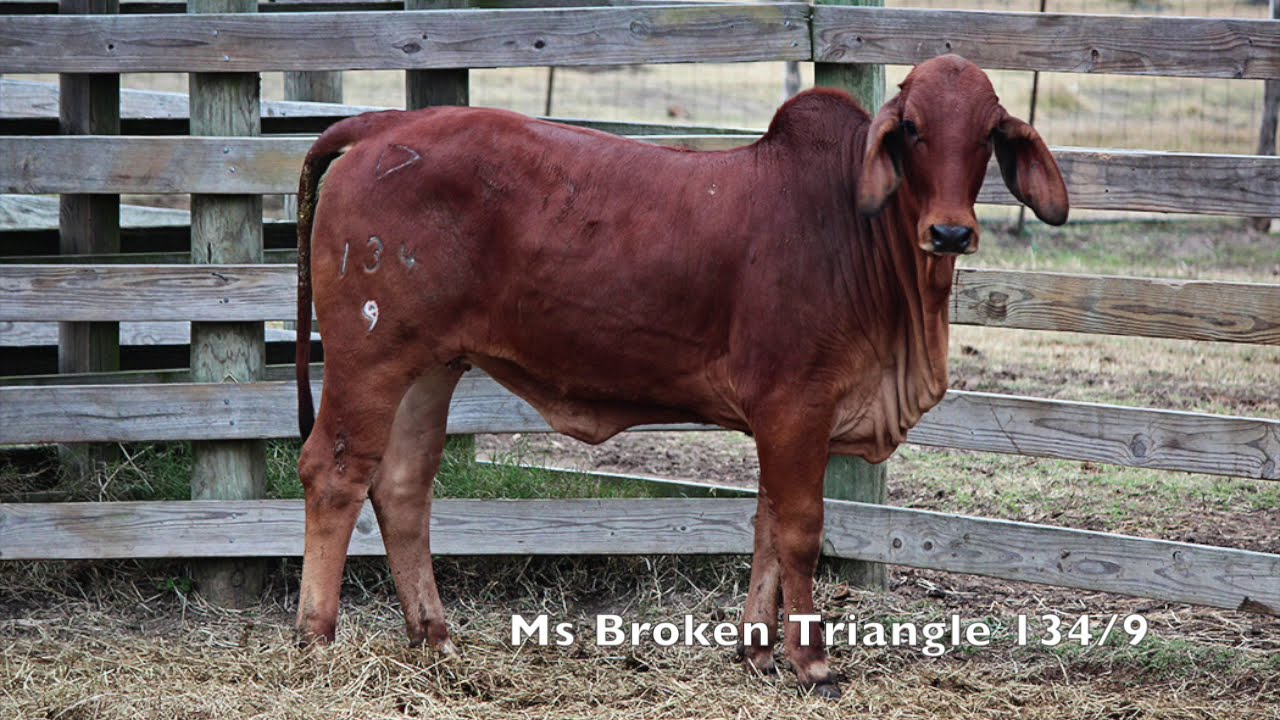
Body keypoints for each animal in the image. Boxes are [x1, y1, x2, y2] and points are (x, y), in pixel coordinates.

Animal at [292, 54, 1068, 698]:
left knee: (401, 486)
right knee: (335, 473)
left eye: (988, 133)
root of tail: (388, 123)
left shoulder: (780, 420)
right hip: (370, 353)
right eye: (910, 129)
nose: (951, 232)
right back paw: (317, 643)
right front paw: (812, 662)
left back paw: (435, 638)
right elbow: (799, 530)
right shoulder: (797, 407)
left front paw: (756, 651)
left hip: (430, 366)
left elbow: (765, 524)